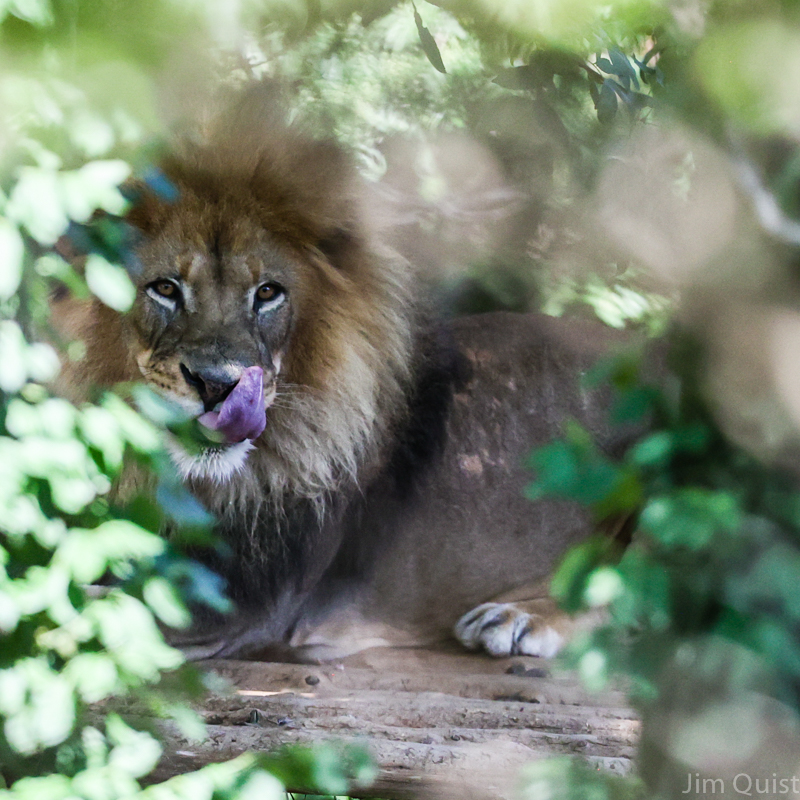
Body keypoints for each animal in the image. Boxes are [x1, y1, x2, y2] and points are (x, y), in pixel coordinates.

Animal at [54, 97, 632, 662]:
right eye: (166, 289)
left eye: (268, 293)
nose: (218, 385)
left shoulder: (239, 597)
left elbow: (84, 608)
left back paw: (518, 619)